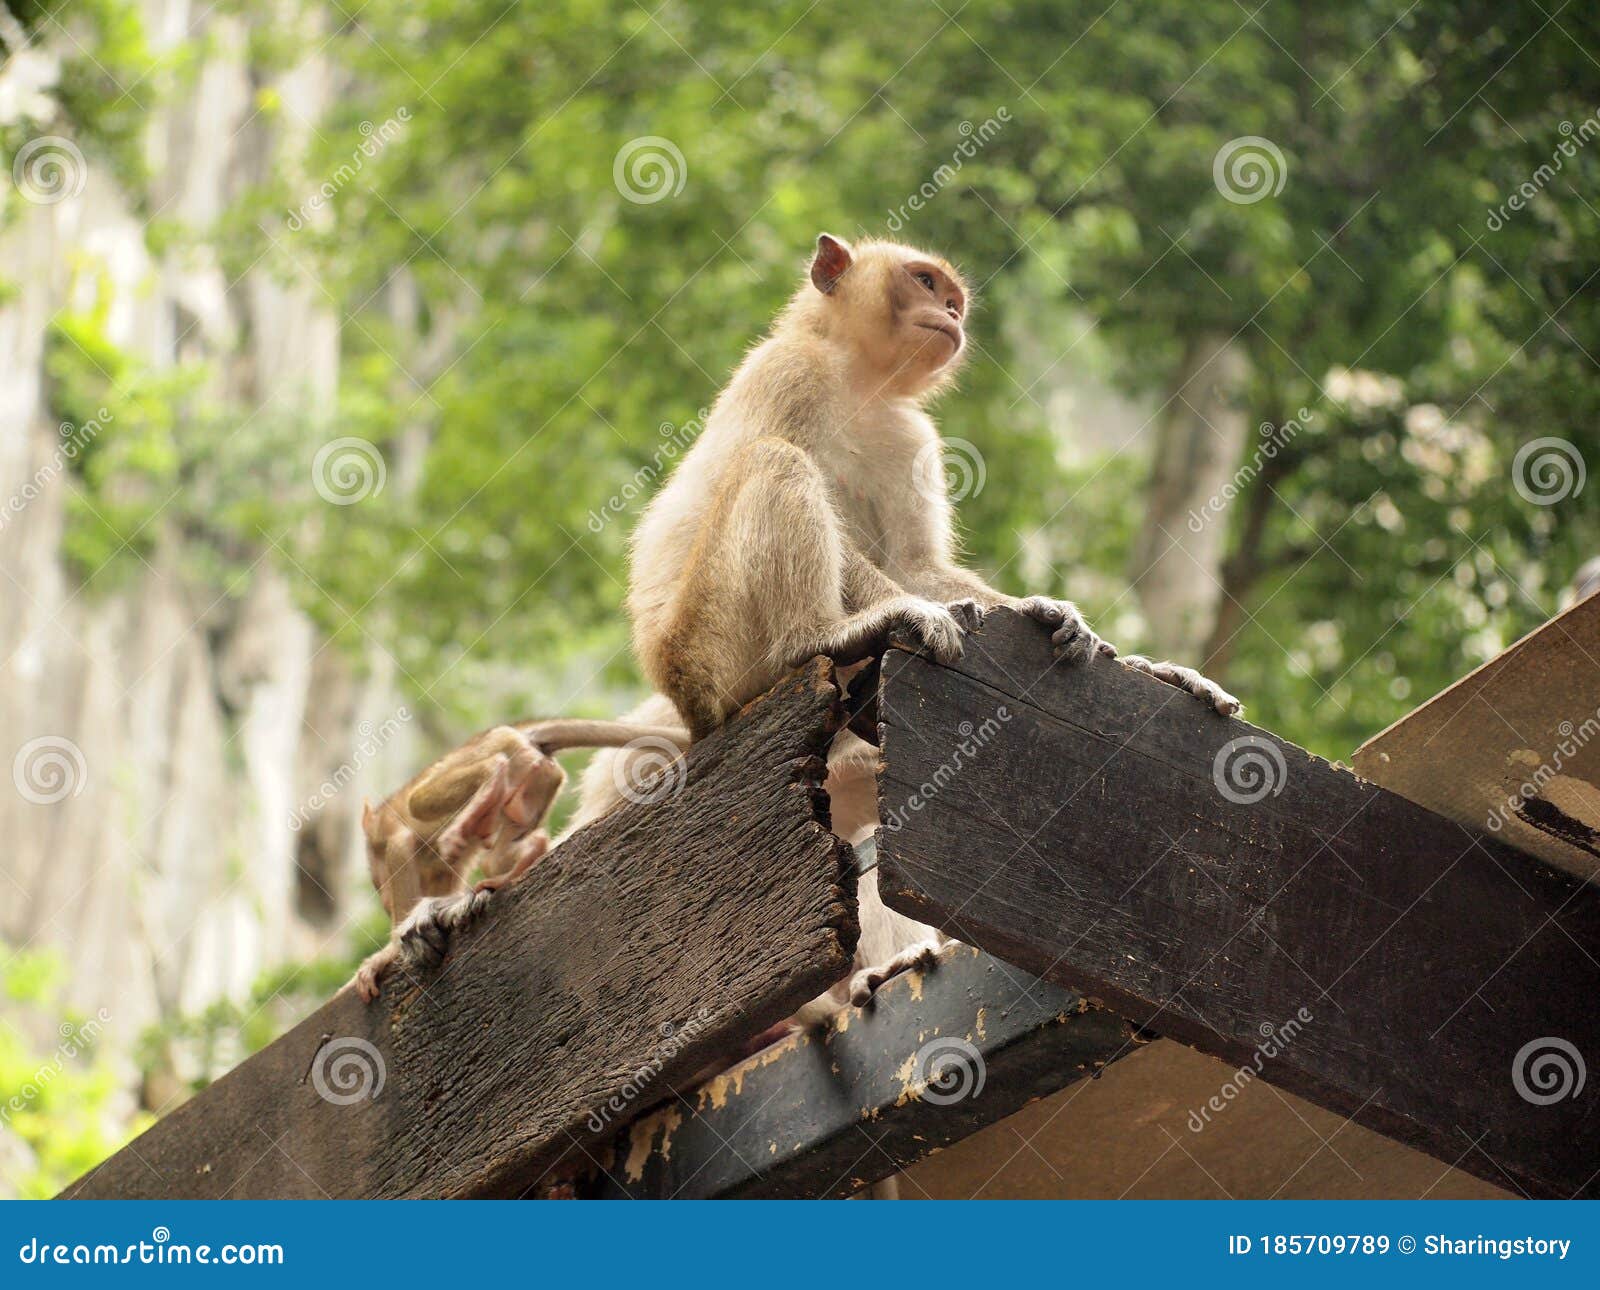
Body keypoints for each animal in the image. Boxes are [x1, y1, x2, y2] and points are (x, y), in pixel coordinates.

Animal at [349, 714, 689, 1001]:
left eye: (377, 884)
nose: (384, 900)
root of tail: (521, 735)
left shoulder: (387, 837)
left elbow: (401, 845)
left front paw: (388, 952)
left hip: (497, 748)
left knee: (424, 799)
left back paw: (490, 782)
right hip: (538, 782)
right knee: (500, 853)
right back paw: (521, 855)